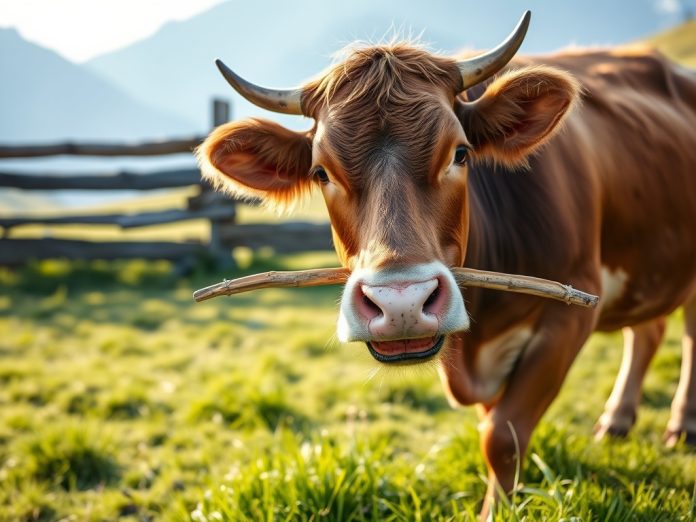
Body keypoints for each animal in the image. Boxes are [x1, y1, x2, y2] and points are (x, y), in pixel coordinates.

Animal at [196, 11, 696, 517]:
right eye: (321, 172)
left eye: (460, 153)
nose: (401, 302)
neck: (480, 336)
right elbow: (492, 425)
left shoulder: (571, 312)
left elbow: (502, 437)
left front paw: (497, 511)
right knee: (649, 329)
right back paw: (617, 421)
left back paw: (682, 425)